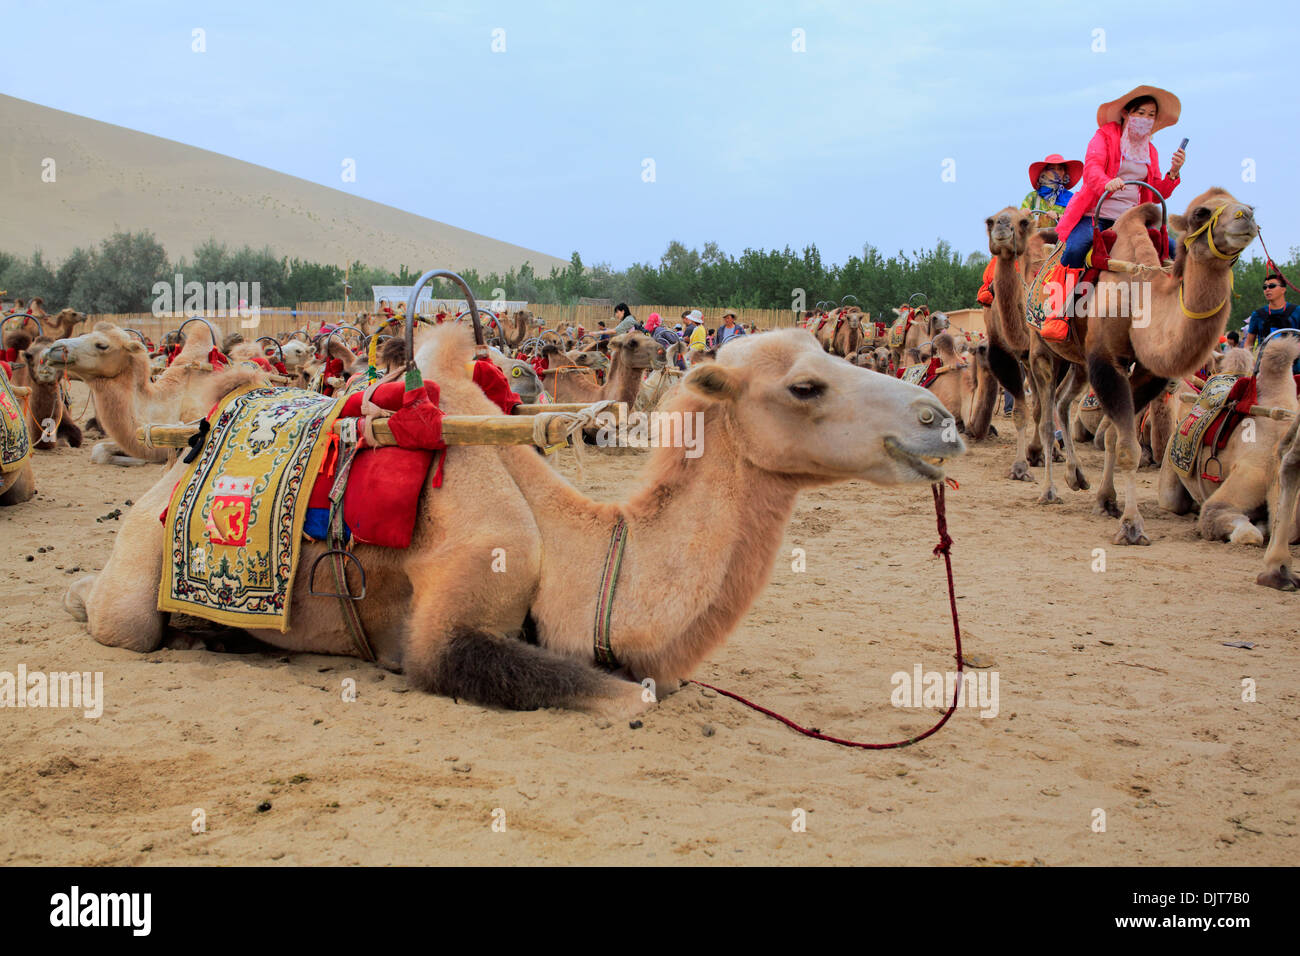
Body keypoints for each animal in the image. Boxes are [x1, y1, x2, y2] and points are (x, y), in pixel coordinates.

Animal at [66, 325, 964, 715]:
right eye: (805, 386)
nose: (940, 422)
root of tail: (188, 442)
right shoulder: (453, 620)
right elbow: (622, 696)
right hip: (139, 566)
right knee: (114, 613)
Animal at [1034, 187, 1257, 544]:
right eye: (1201, 212)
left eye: (1247, 205)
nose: (1246, 216)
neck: (1143, 297)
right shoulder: (1107, 360)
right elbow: (1128, 446)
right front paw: (1131, 526)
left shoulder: (1147, 371)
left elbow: (1115, 435)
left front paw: (1107, 501)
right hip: (1043, 349)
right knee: (1044, 413)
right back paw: (1049, 491)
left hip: (1078, 361)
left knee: (1064, 401)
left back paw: (1076, 476)